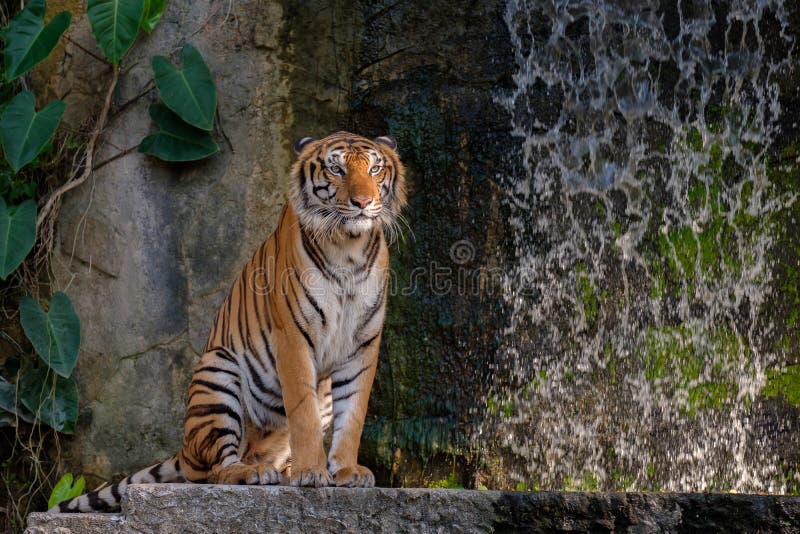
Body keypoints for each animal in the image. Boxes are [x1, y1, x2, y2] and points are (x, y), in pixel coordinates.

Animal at [53, 131, 407, 512]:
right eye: (336, 169)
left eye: (374, 169)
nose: (363, 202)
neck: (348, 248)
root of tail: (184, 449)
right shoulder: (294, 337)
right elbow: (303, 414)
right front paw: (312, 472)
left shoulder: (363, 343)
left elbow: (353, 413)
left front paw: (346, 471)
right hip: (218, 374)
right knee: (215, 470)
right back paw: (253, 472)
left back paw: (281, 470)